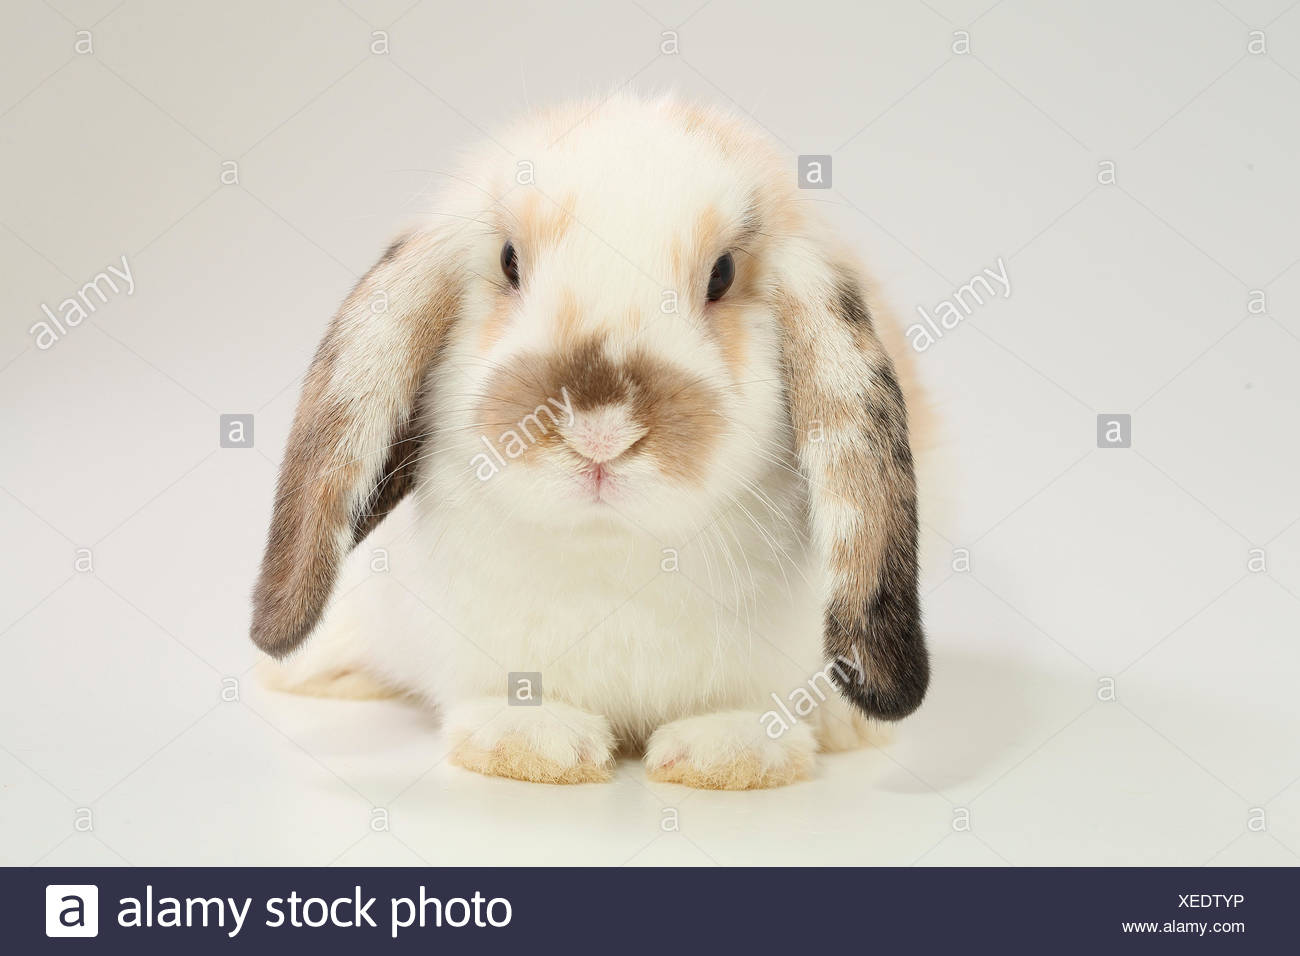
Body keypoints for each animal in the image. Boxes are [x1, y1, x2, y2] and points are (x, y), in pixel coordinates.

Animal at [250, 94, 933, 790]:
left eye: (722, 275)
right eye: (509, 261)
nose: (600, 432)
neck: (610, 547)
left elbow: (748, 709)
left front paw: (725, 754)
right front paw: (534, 743)